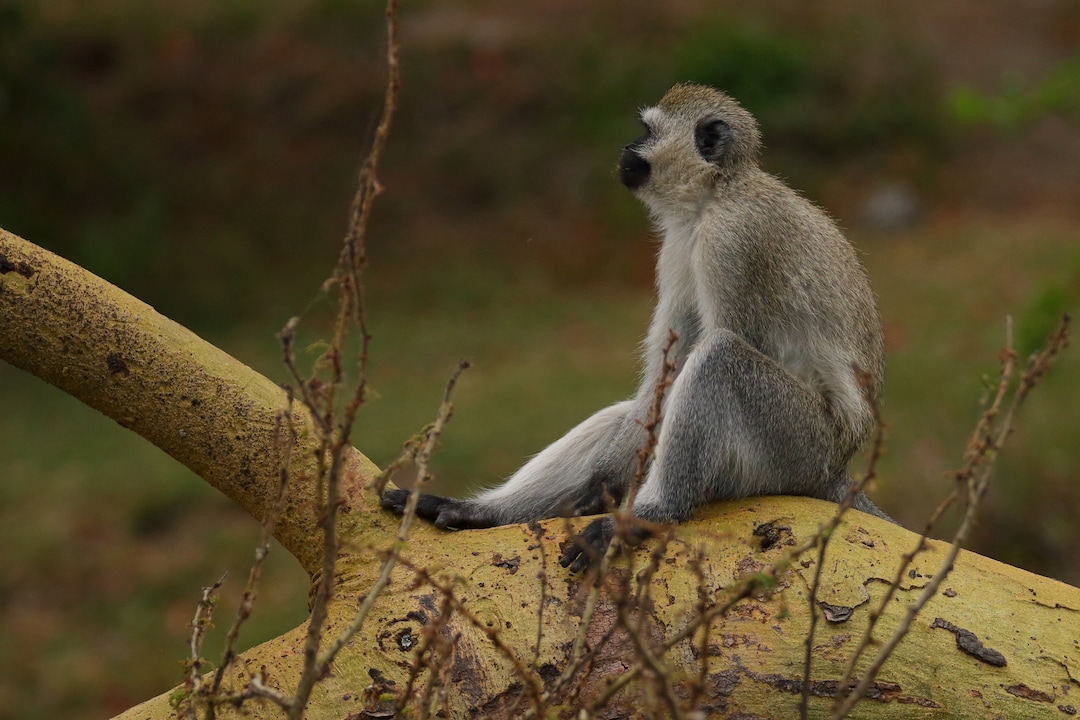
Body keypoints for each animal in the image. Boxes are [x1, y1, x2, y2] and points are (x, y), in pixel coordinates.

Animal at [382, 83, 889, 572]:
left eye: (647, 131)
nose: (626, 147)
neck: (713, 195)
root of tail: (836, 469)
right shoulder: (679, 245)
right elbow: (670, 365)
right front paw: (601, 484)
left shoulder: (734, 242)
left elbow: (728, 344)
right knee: (629, 410)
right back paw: (485, 512)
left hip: (796, 450)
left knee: (721, 357)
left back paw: (649, 515)